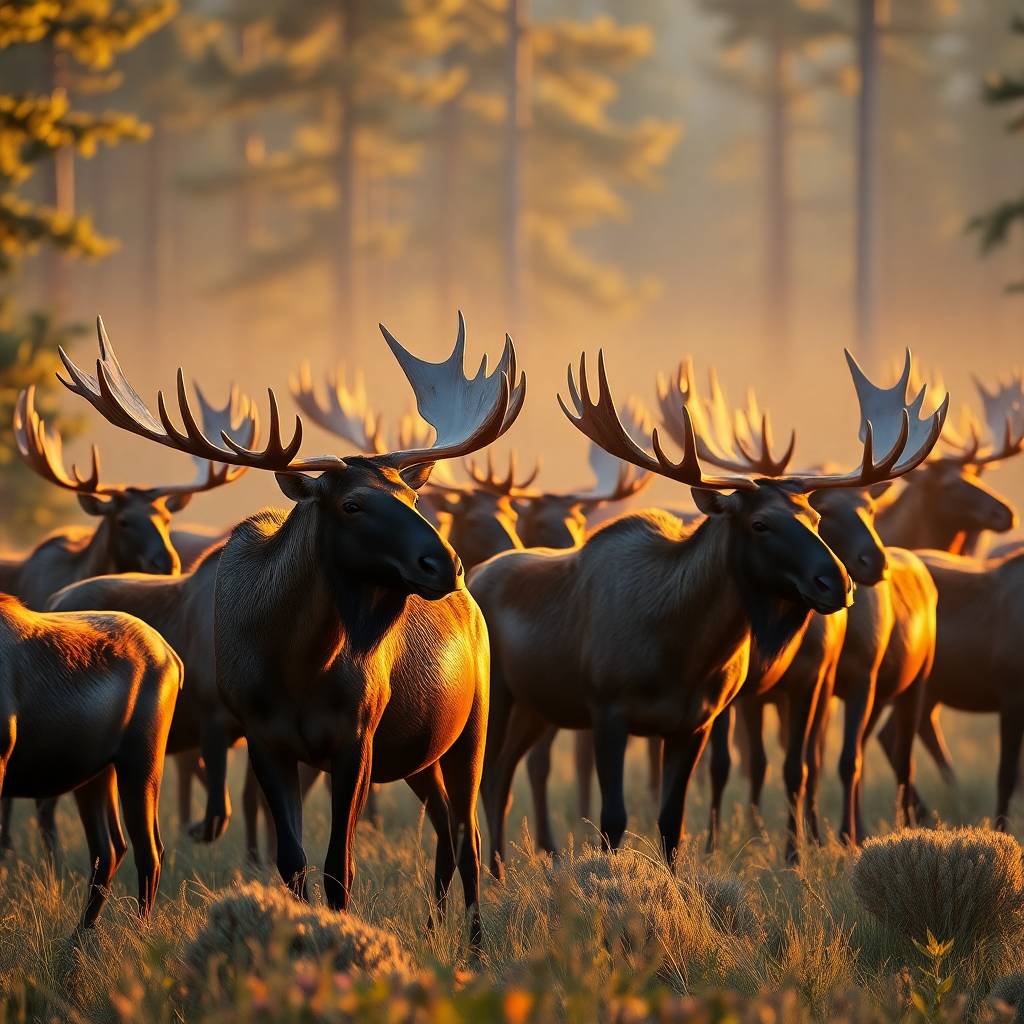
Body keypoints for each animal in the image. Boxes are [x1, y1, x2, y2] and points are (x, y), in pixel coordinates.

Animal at [0, 594, 181, 929]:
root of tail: (174, 659)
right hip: (96, 775)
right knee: (109, 849)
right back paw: (80, 933)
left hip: (141, 764)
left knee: (148, 849)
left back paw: (138, 931)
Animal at [57, 311, 526, 949]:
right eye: (352, 505)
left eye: (410, 493)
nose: (444, 563)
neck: (299, 665)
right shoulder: (264, 738)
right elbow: (291, 862)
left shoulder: (358, 737)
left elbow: (338, 867)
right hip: (422, 754)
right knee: (447, 835)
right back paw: (435, 928)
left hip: (473, 723)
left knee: (469, 836)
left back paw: (474, 948)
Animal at [470, 349, 945, 876]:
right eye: (759, 523)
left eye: (814, 517)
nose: (836, 581)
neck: (682, 650)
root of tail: (475, 574)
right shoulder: (607, 710)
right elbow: (613, 820)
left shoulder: (692, 723)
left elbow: (672, 821)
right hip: (499, 696)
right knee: (490, 778)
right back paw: (494, 873)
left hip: (537, 707)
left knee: (503, 775)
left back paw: (498, 869)